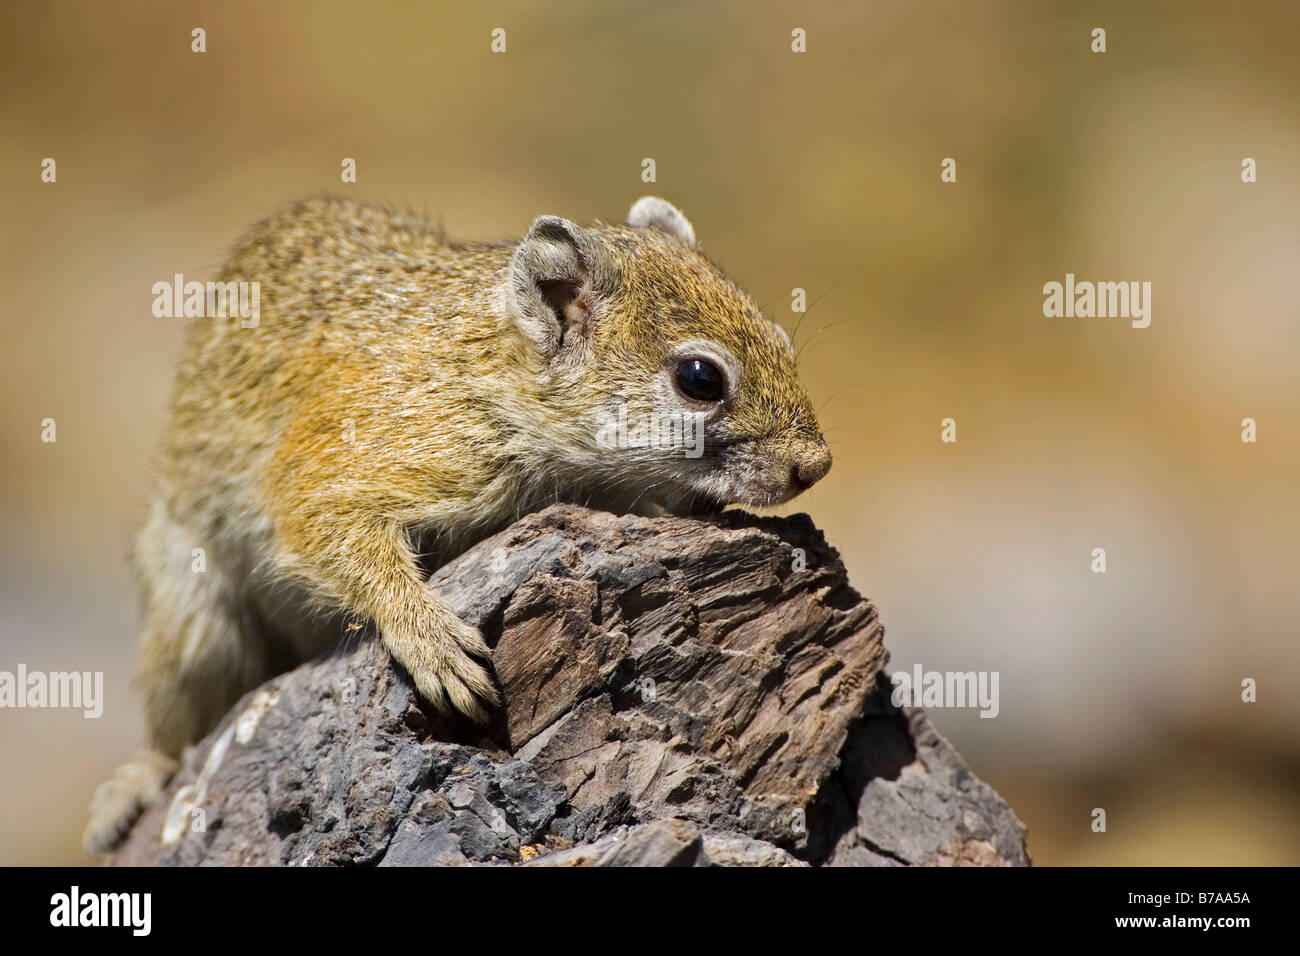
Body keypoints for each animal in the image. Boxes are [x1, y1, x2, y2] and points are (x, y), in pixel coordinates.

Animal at [84, 195, 832, 853]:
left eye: (781, 337)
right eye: (700, 378)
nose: (815, 466)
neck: (498, 374)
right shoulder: (345, 461)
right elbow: (329, 528)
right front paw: (432, 640)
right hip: (194, 622)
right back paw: (131, 786)